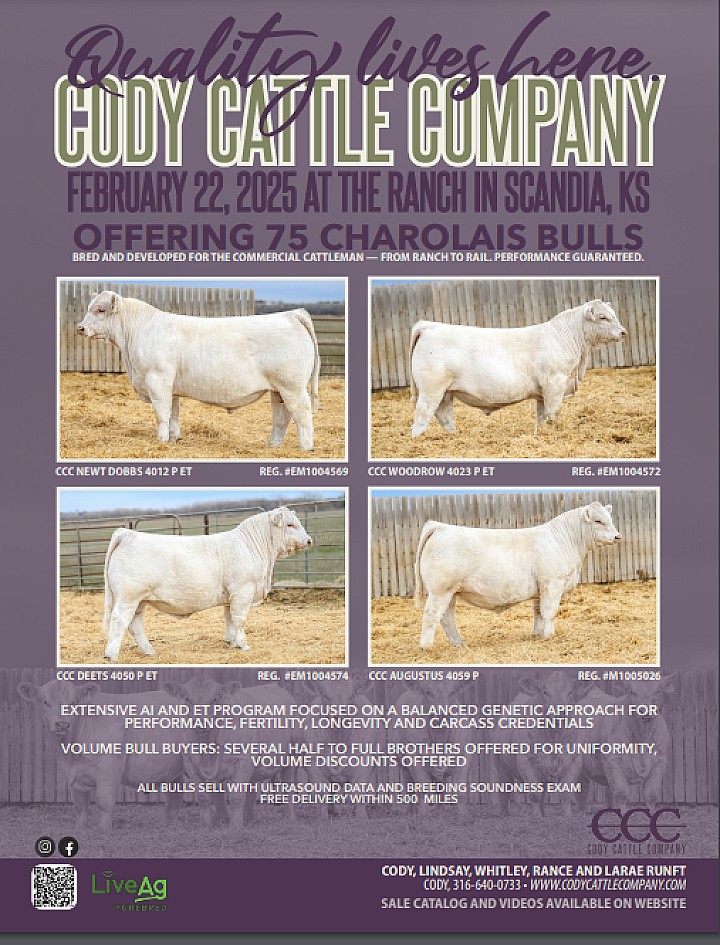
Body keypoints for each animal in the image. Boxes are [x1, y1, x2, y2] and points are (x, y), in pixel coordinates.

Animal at [17, 679, 185, 832]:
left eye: (73, 702)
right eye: (45, 702)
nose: (62, 724)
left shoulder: (110, 766)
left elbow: (104, 801)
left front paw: (104, 829)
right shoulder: (74, 773)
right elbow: (80, 806)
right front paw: (80, 828)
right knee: (174, 797)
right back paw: (169, 825)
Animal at [76, 290, 321, 449]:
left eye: (100, 309)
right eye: (88, 308)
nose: (80, 328)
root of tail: (291, 314)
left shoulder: (157, 380)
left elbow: (162, 413)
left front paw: (160, 440)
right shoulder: (171, 387)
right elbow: (173, 413)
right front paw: (174, 439)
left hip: (292, 386)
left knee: (302, 413)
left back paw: (306, 447)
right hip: (278, 389)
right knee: (282, 417)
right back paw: (272, 446)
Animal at [102, 507, 312, 662]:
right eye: (290, 524)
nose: (309, 540)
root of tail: (128, 534)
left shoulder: (230, 597)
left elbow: (229, 618)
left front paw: (232, 643)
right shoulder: (243, 591)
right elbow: (239, 619)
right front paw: (244, 645)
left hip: (140, 600)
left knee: (135, 625)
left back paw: (149, 651)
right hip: (129, 596)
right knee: (119, 620)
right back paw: (111, 655)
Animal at [409, 300, 627, 437]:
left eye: (614, 315)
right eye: (602, 317)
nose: (623, 332)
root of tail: (429, 326)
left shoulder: (543, 392)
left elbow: (542, 415)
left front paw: (541, 431)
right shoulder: (555, 384)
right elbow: (553, 412)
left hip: (446, 392)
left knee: (444, 415)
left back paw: (453, 435)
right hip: (431, 390)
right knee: (422, 414)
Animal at [414, 502, 622, 650]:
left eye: (609, 518)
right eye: (598, 521)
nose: (618, 536)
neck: (564, 541)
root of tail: (440, 527)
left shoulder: (540, 589)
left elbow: (538, 612)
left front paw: (537, 634)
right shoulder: (552, 583)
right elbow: (550, 611)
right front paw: (549, 636)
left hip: (450, 593)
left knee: (446, 618)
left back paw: (458, 644)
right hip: (440, 590)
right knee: (431, 615)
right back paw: (427, 647)